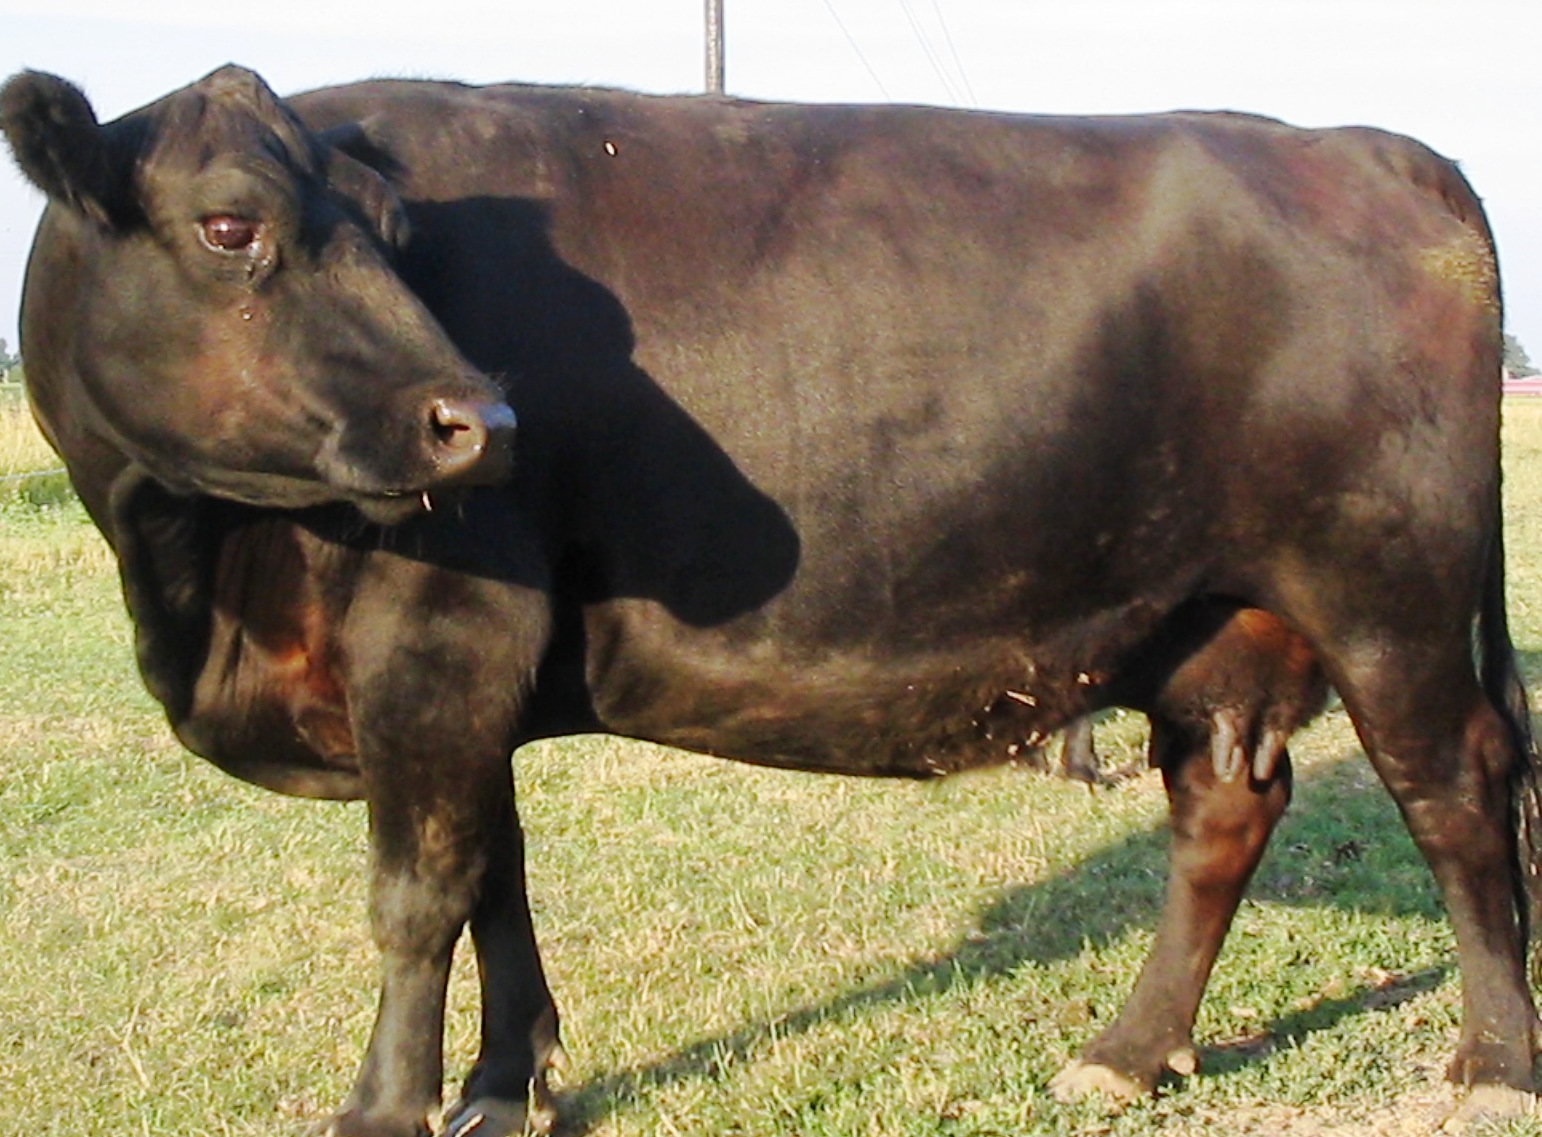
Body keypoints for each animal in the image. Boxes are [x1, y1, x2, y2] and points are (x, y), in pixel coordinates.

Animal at [3, 64, 1538, 1137]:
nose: (479, 421)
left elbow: (418, 894)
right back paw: (1123, 1053)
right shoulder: (471, 678)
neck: (199, 584)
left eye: (387, 230)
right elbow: (498, 872)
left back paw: (1494, 1065)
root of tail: (1365, 146)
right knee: (1223, 805)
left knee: (1454, 793)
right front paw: (507, 1079)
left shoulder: (436, 648)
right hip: (1212, 619)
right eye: (229, 225)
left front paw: (386, 1107)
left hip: (1387, 597)